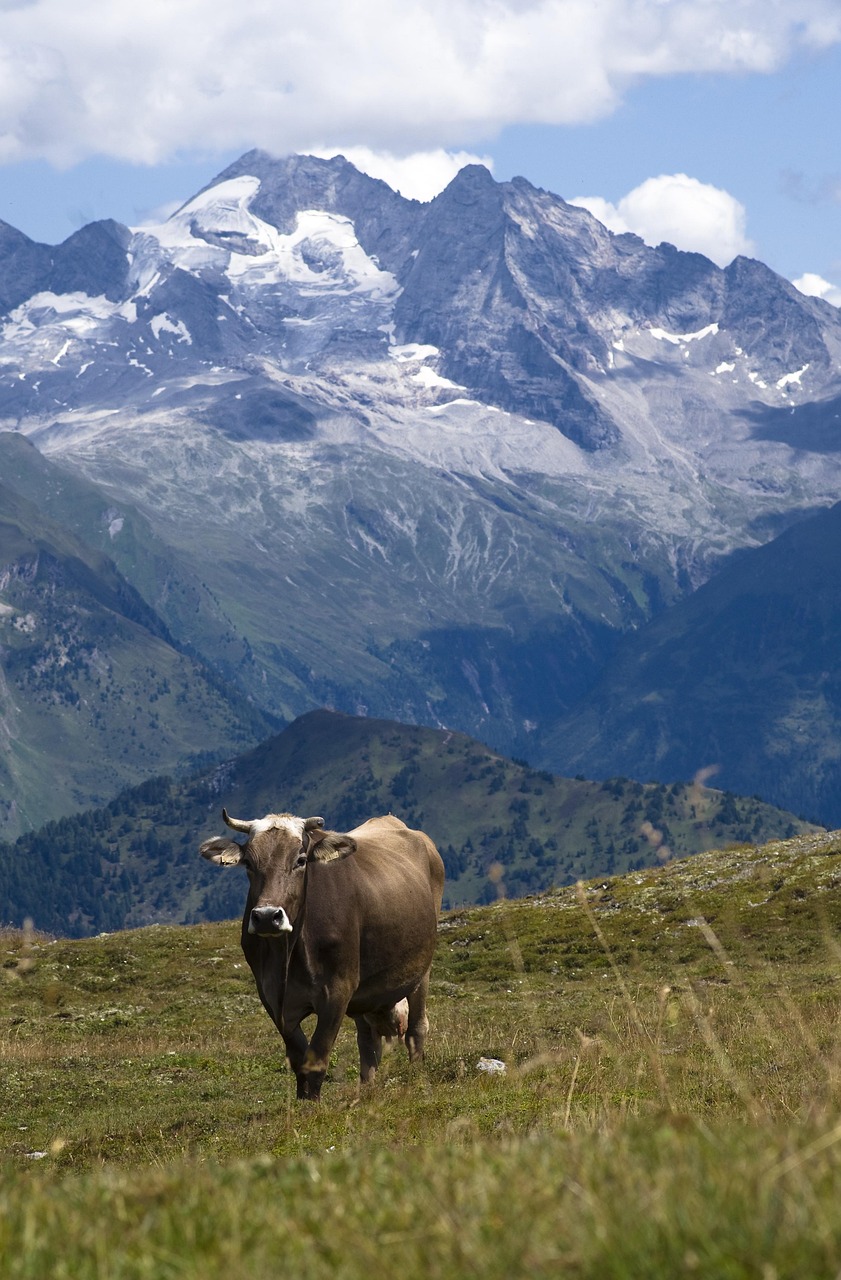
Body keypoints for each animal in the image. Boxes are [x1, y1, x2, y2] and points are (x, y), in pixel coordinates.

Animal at [200, 809, 445, 1101]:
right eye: (248, 862)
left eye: (301, 860)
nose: (267, 917)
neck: (288, 956)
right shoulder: (271, 997)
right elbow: (298, 1056)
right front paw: (303, 1100)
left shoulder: (337, 991)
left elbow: (317, 1057)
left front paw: (313, 1107)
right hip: (365, 991)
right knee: (367, 1040)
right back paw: (366, 1089)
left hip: (421, 970)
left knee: (417, 1029)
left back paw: (416, 1079)